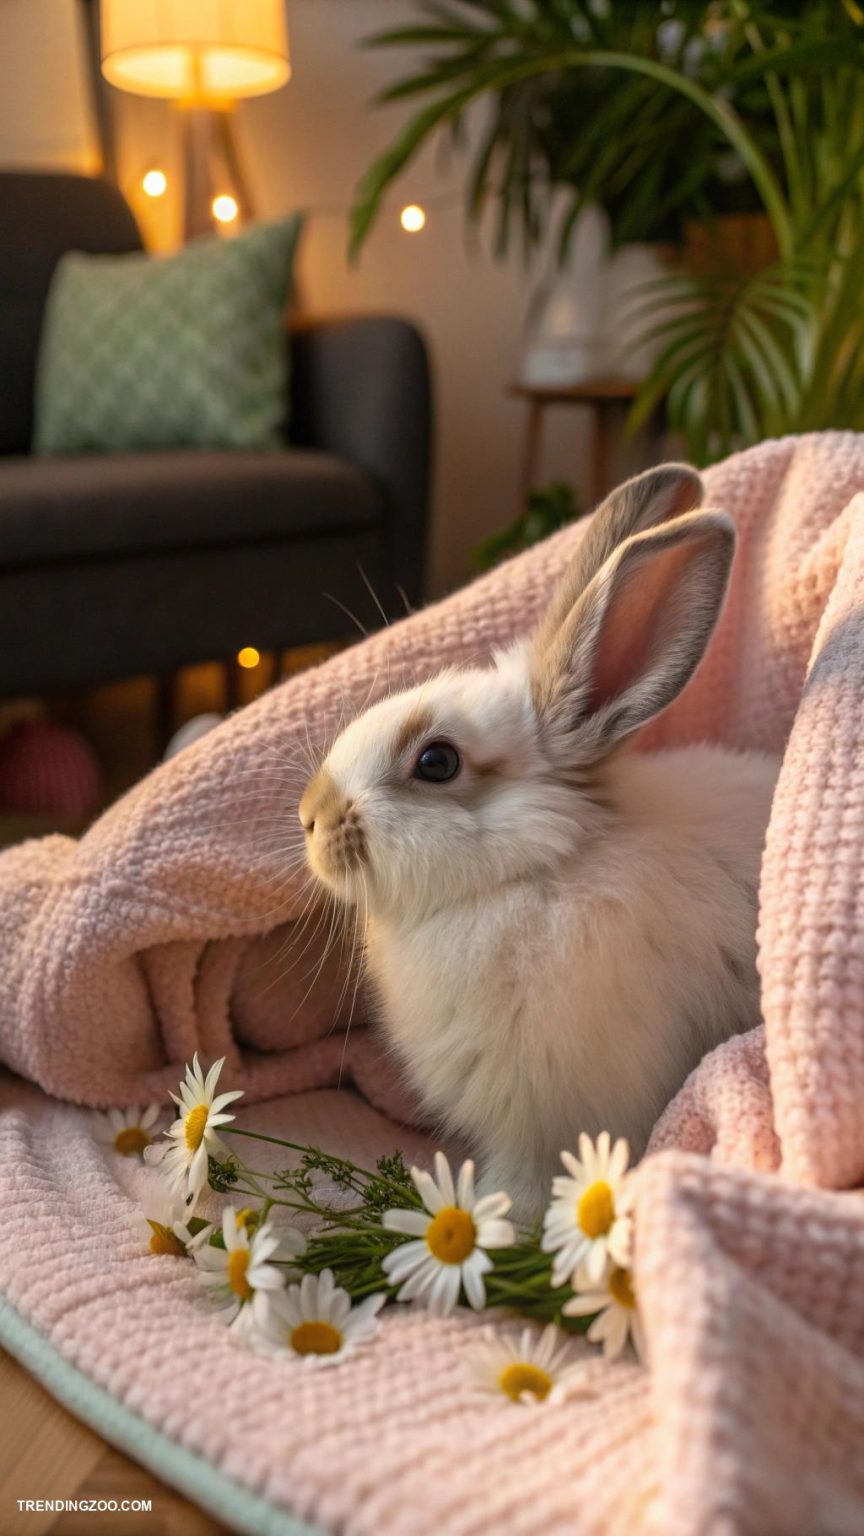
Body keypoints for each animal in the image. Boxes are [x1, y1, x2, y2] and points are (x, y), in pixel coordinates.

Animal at [298, 465, 779, 1217]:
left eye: (436, 762)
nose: (309, 817)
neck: (534, 871)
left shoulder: (554, 1110)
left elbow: (529, 1180)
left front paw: (492, 1211)